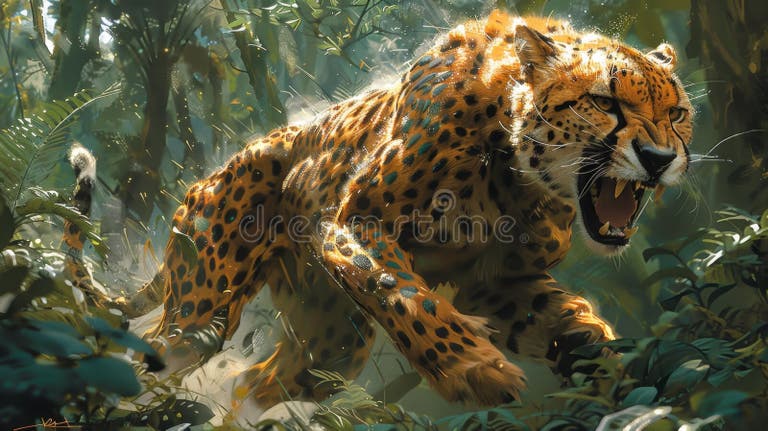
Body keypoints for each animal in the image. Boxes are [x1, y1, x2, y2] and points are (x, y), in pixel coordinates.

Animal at [65, 10, 693, 408]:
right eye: (605, 101)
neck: (519, 177)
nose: (660, 158)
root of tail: (204, 181)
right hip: (201, 315)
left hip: (328, 344)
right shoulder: (355, 223)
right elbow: (406, 295)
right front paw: (475, 370)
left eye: (678, 113)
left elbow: (553, 316)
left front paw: (607, 357)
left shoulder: (495, 281)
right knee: (145, 364)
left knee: (255, 384)